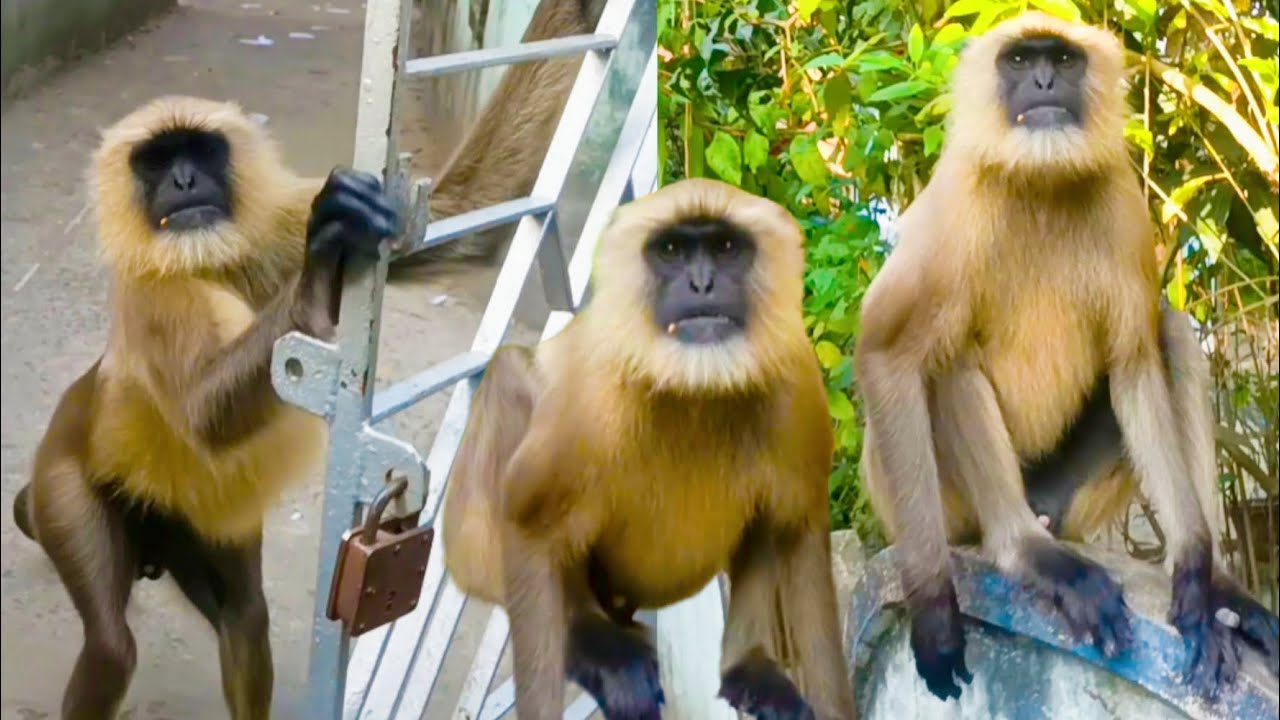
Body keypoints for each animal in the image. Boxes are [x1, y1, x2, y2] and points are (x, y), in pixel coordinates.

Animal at [9, 95, 399, 719]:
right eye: (158, 160)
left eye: (199, 151)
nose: (185, 180)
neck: (206, 260)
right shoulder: (153, 294)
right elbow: (204, 416)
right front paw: (317, 278)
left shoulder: (273, 225)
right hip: (63, 487)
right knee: (111, 644)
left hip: (191, 519)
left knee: (245, 614)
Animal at [440, 178, 857, 720]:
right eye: (672, 251)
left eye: (726, 247)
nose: (701, 284)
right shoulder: (590, 395)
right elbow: (531, 525)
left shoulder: (796, 373)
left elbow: (800, 534)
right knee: (511, 370)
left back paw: (746, 664)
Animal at [853, 11, 1277, 704]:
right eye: (1021, 62)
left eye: (1063, 61)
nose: (1046, 82)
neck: (1041, 181)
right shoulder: (953, 201)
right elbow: (887, 355)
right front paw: (934, 614)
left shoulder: (1122, 199)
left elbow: (1136, 361)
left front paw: (1195, 573)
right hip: (940, 508)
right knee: (944, 353)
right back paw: (1024, 550)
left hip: (1075, 500)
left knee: (1169, 330)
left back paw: (1222, 590)